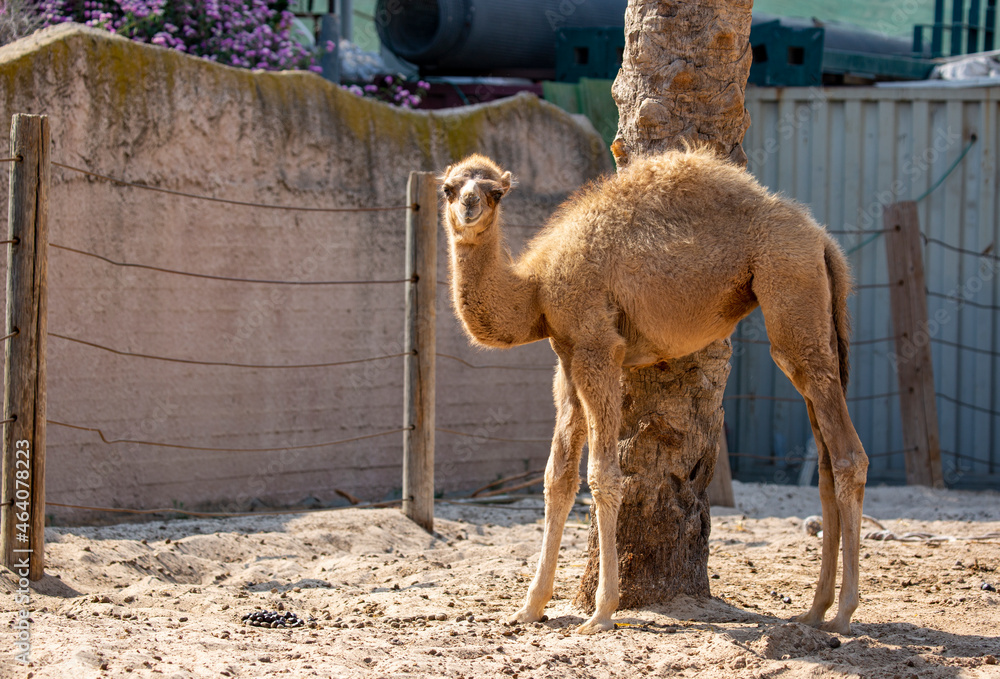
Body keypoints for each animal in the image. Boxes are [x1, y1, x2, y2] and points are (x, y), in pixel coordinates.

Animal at [438, 147, 868, 636]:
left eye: (495, 192)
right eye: (449, 187)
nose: (469, 205)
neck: (536, 290)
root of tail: (823, 240)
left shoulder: (598, 347)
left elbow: (603, 475)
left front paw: (602, 612)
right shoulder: (567, 359)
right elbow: (557, 478)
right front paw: (530, 607)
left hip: (790, 290)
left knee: (848, 455)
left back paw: (844, 612)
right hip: (810, 314)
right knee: (826, 462)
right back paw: (815, 611)